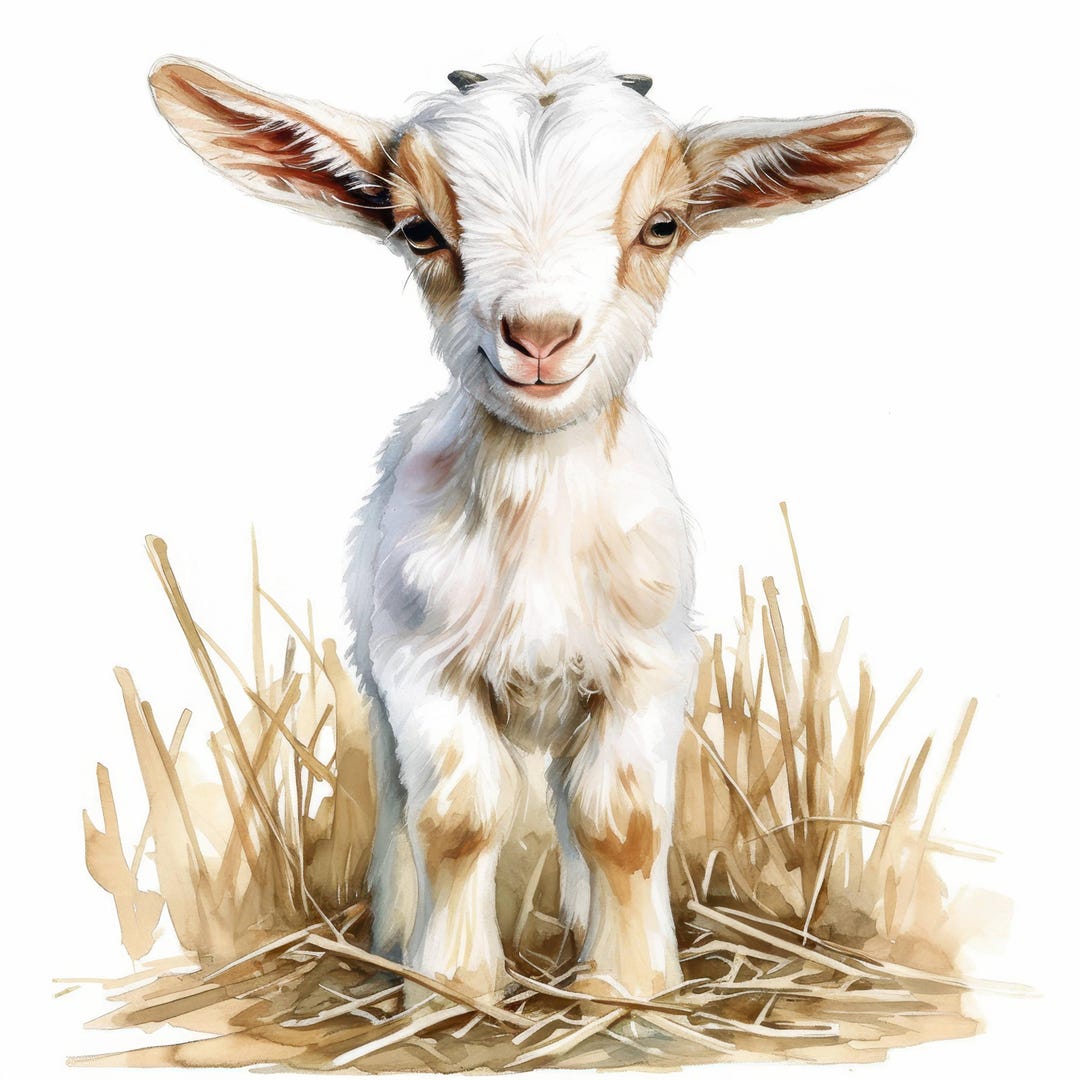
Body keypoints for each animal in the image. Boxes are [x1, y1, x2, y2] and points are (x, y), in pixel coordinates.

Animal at [149, 53, 912, 1003]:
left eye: (662, 226)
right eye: (418, 231)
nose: (540, 336)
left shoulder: (649, 665)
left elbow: (621, 820)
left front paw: (629, 987)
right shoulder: (421, 665)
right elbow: (455, 816)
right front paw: (452, 989)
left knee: (567, 798)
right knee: (404, 797)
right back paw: (395, 931)